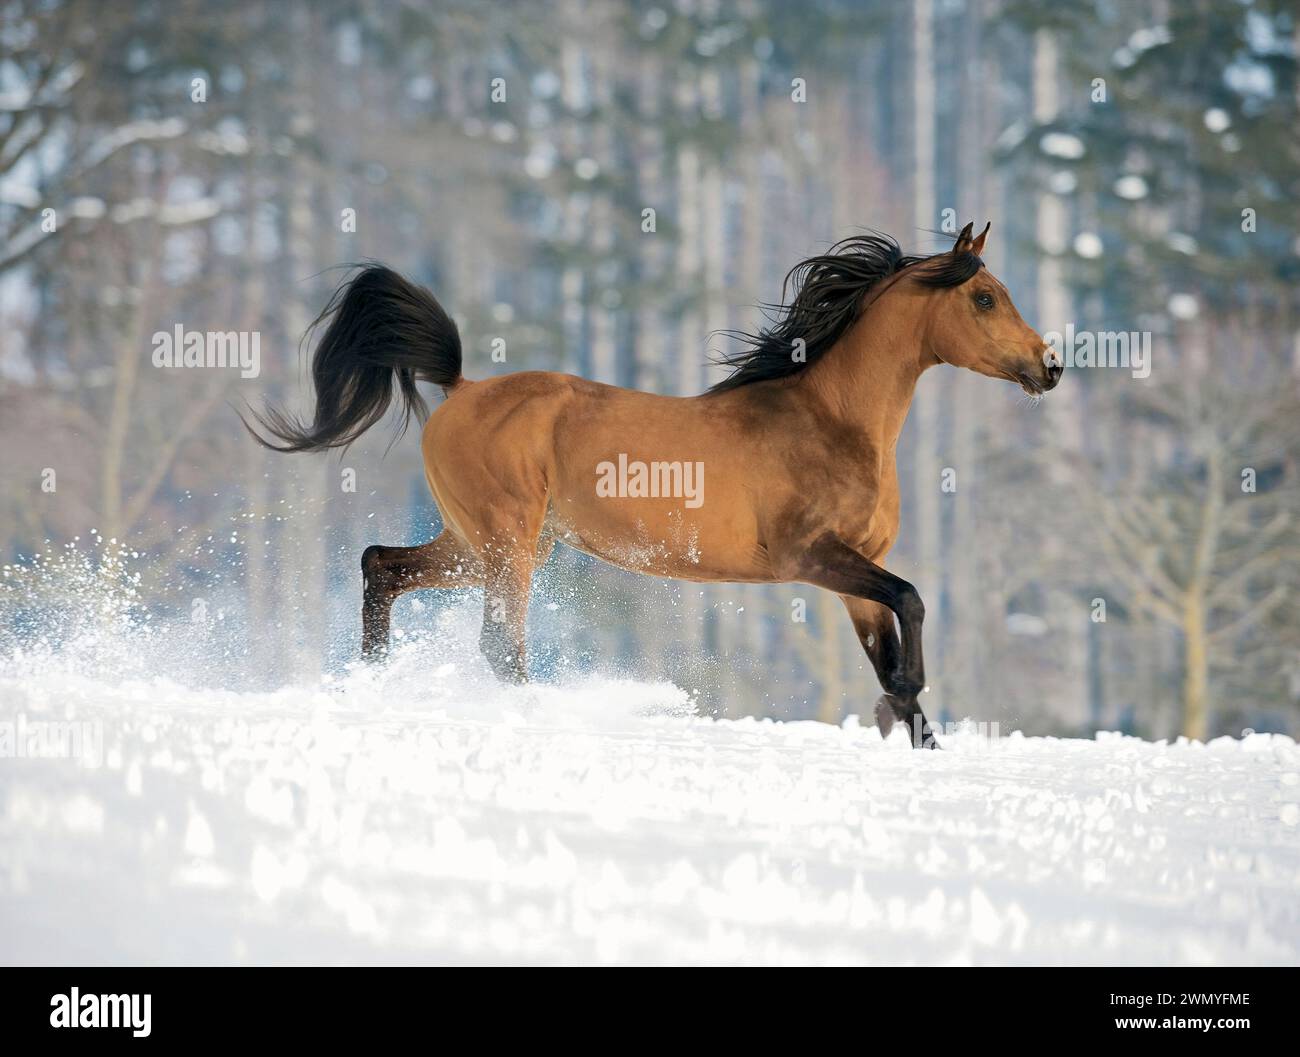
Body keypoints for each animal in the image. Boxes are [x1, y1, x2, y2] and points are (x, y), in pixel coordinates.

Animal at [247, 222, 1062, 749]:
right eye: (985, 298)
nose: (1050, 365)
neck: (831, 421)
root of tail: (461, 387)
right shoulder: (812, 558)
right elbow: (914, 602)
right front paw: (905, 707)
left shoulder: (855, 576)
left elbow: (892, 649)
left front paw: (915, 729)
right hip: (508, 544)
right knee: (495, 642)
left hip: (479, 544)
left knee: (382, 567)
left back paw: (370, 685)